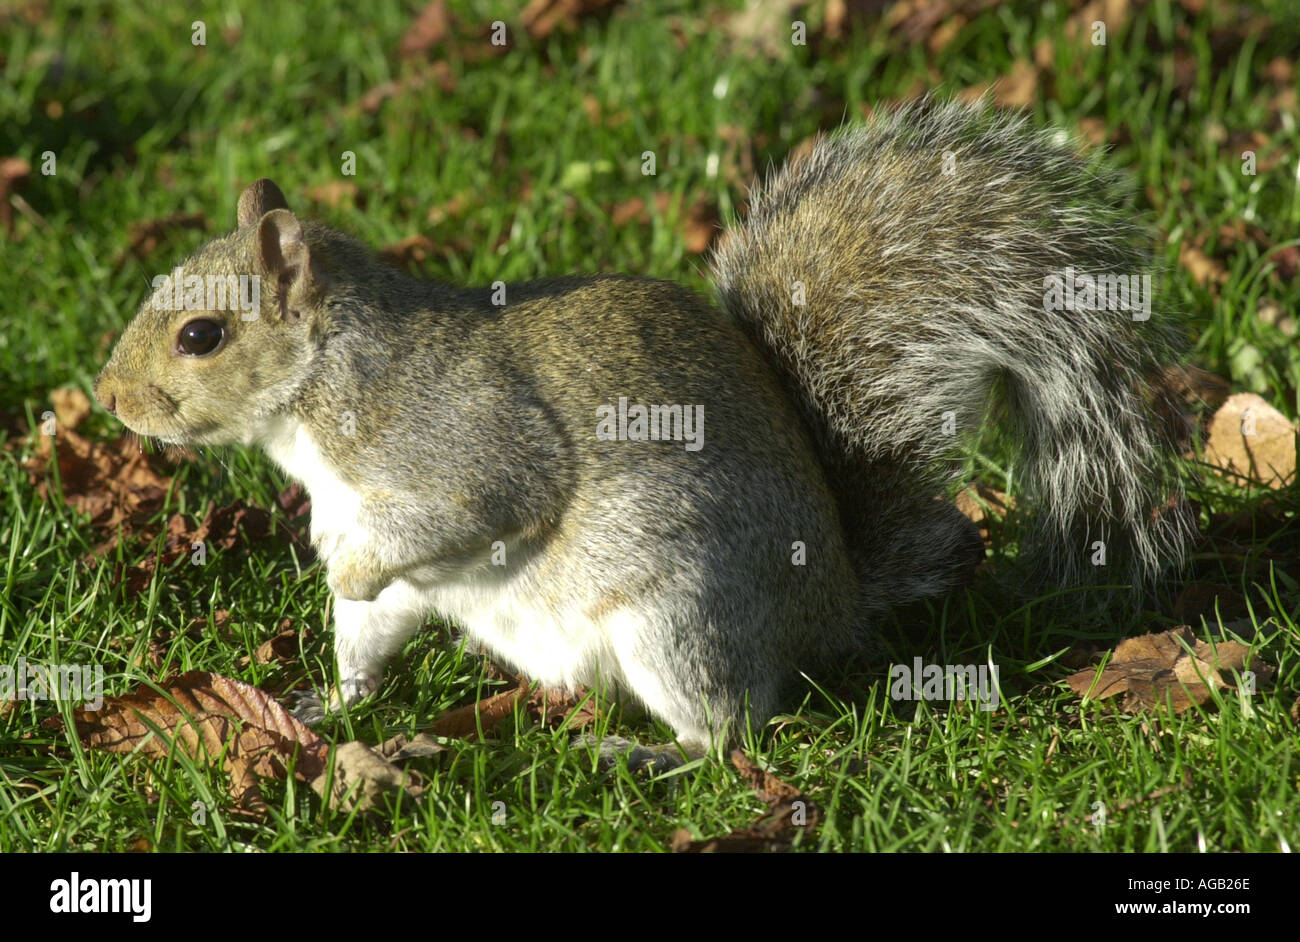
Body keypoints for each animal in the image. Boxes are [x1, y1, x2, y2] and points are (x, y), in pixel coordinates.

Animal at [94, 98, 1189, 768]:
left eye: (201, 335)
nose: (109, 399)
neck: (323, 397)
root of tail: (836, 602)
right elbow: (367, 628)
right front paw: (328, 674)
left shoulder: (460, 446)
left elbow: (485, 505)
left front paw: (352, 564)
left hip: (678, 615)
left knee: (732, 732)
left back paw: (650, 752)